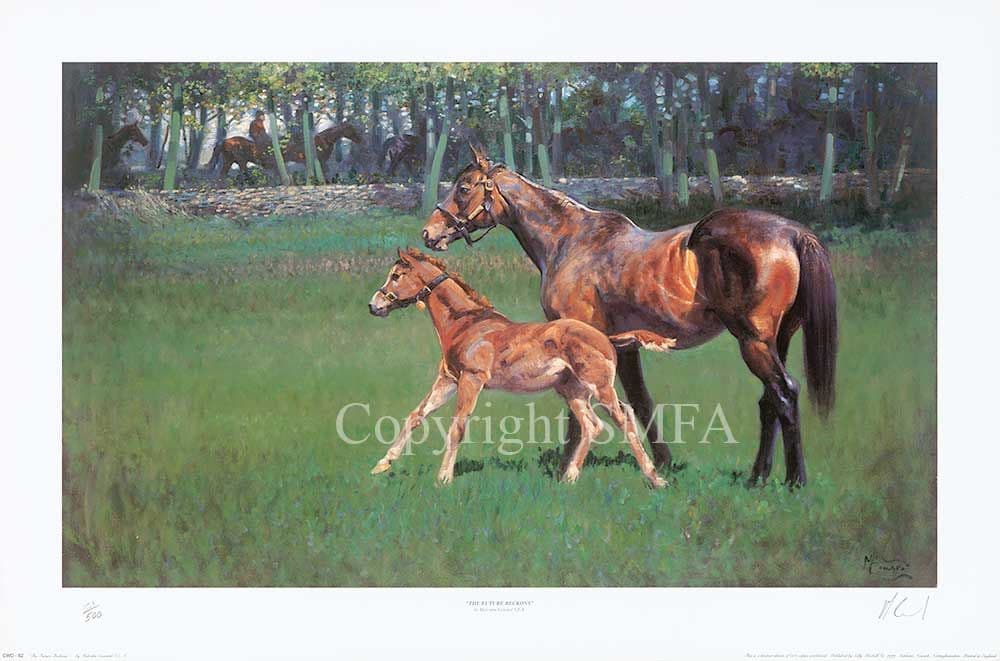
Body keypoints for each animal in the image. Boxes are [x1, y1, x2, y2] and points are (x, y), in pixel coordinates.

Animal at [367, 248, 675, 487]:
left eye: (396, 276)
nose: (374, 305)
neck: (468, 325)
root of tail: (606, 338)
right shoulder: (448, 380)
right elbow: (416, 415)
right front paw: (382, 464)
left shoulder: (471, 380)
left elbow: (457, 427)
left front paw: (443, 478)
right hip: (573, 391)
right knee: (594, 424)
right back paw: (570, 477)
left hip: (598, 387)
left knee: (622, 418)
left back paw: (654, 478)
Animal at [421, 145, 838, 488]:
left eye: (464, 188)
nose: (429, 233)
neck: (570, 240)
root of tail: (792, 233)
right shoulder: (624, 347)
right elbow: (640, 401)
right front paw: (662, 463)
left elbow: (582, 411)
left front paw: (566, 467)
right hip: (775, 341)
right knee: (770, 402)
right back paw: (758, 477)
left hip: (753, 341)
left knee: (785, 394)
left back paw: (795, 480)